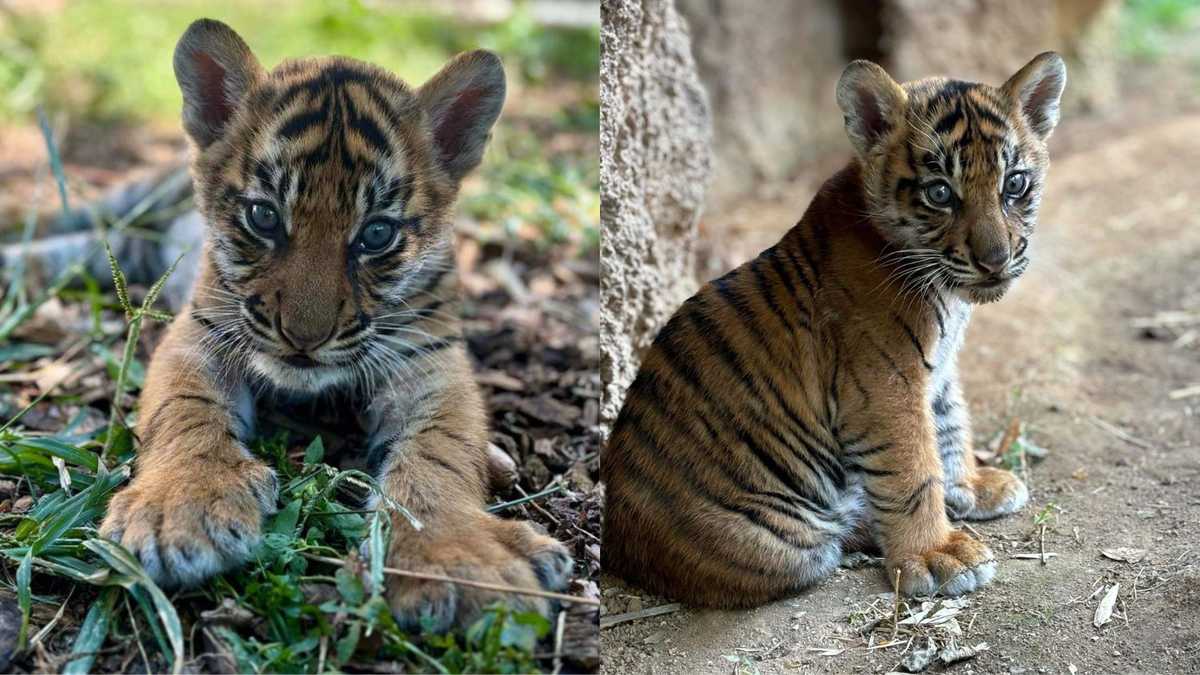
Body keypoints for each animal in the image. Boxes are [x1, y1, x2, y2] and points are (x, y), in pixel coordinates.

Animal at [92, 19, 573, 631]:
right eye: (264, 216)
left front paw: (454, 558)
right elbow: (183, 411)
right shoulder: (198, 334)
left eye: (376, 234)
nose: (305, 337)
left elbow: (440, 451)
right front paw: (181, 507)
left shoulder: (432, 364)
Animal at [601, 53, 1066, 606]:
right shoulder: (883, 386)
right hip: (775, 544)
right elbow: (914, 467)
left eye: (1014, 184)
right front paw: (935, 555)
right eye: (939, 193)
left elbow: (951, 421)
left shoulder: (938, 368)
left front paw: (971, 486)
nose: (995, 261)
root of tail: (614, 537)